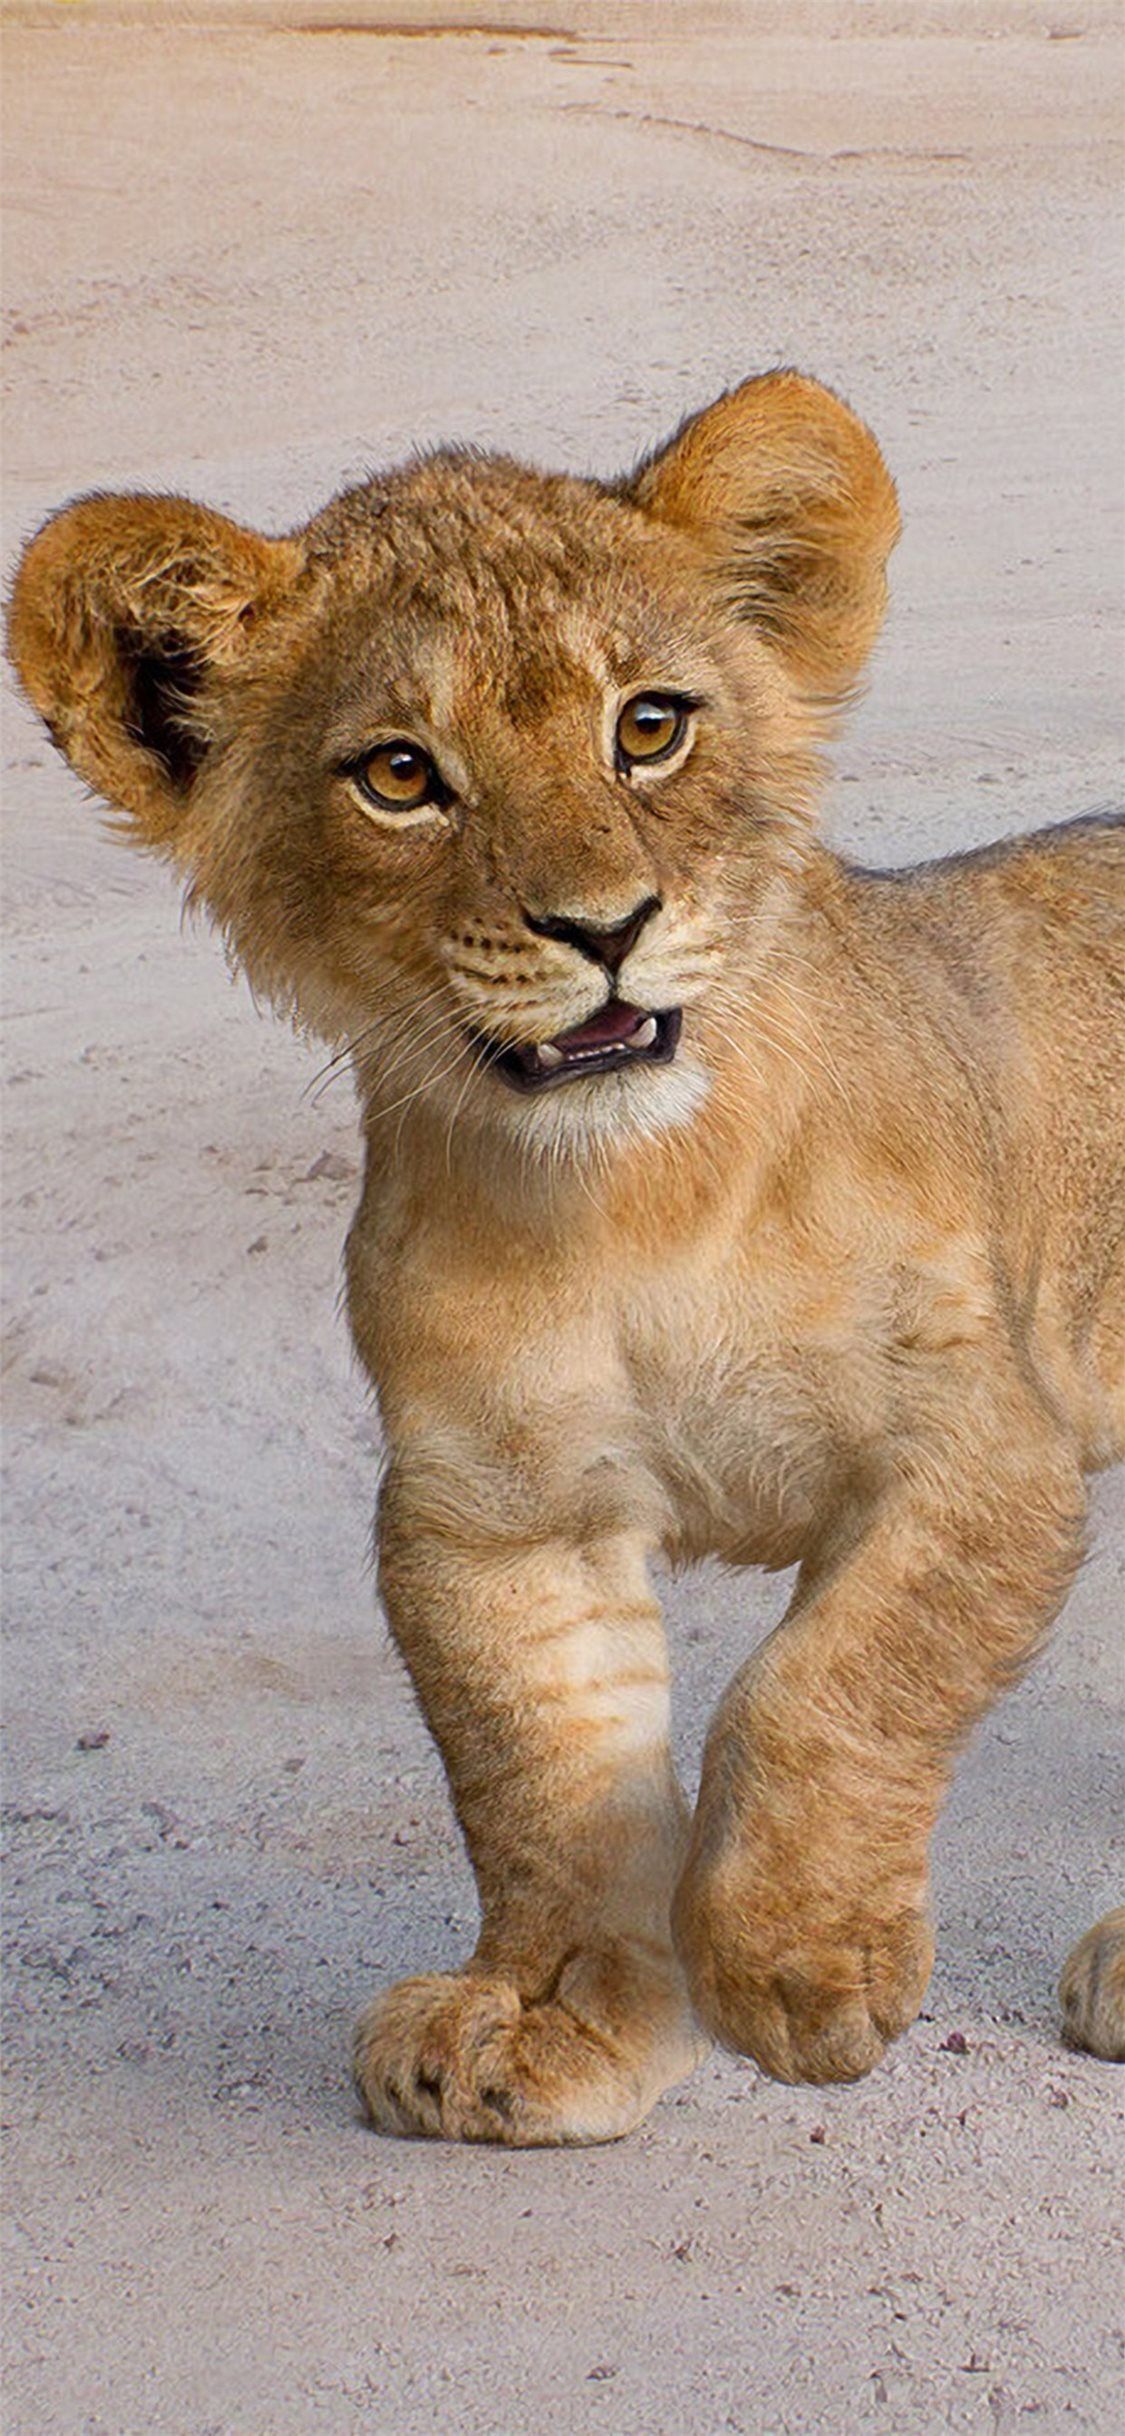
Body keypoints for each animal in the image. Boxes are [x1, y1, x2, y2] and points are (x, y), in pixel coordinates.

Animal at [7, 372, 1124, 2144]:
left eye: (648, 727)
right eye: (402, 774)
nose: (603, 927)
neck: (633, 1195)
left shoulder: (985, 1445)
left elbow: (824, 1687)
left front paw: (794, 1964)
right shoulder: (490, 1511)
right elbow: (542, 1781)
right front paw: (548, 2021)